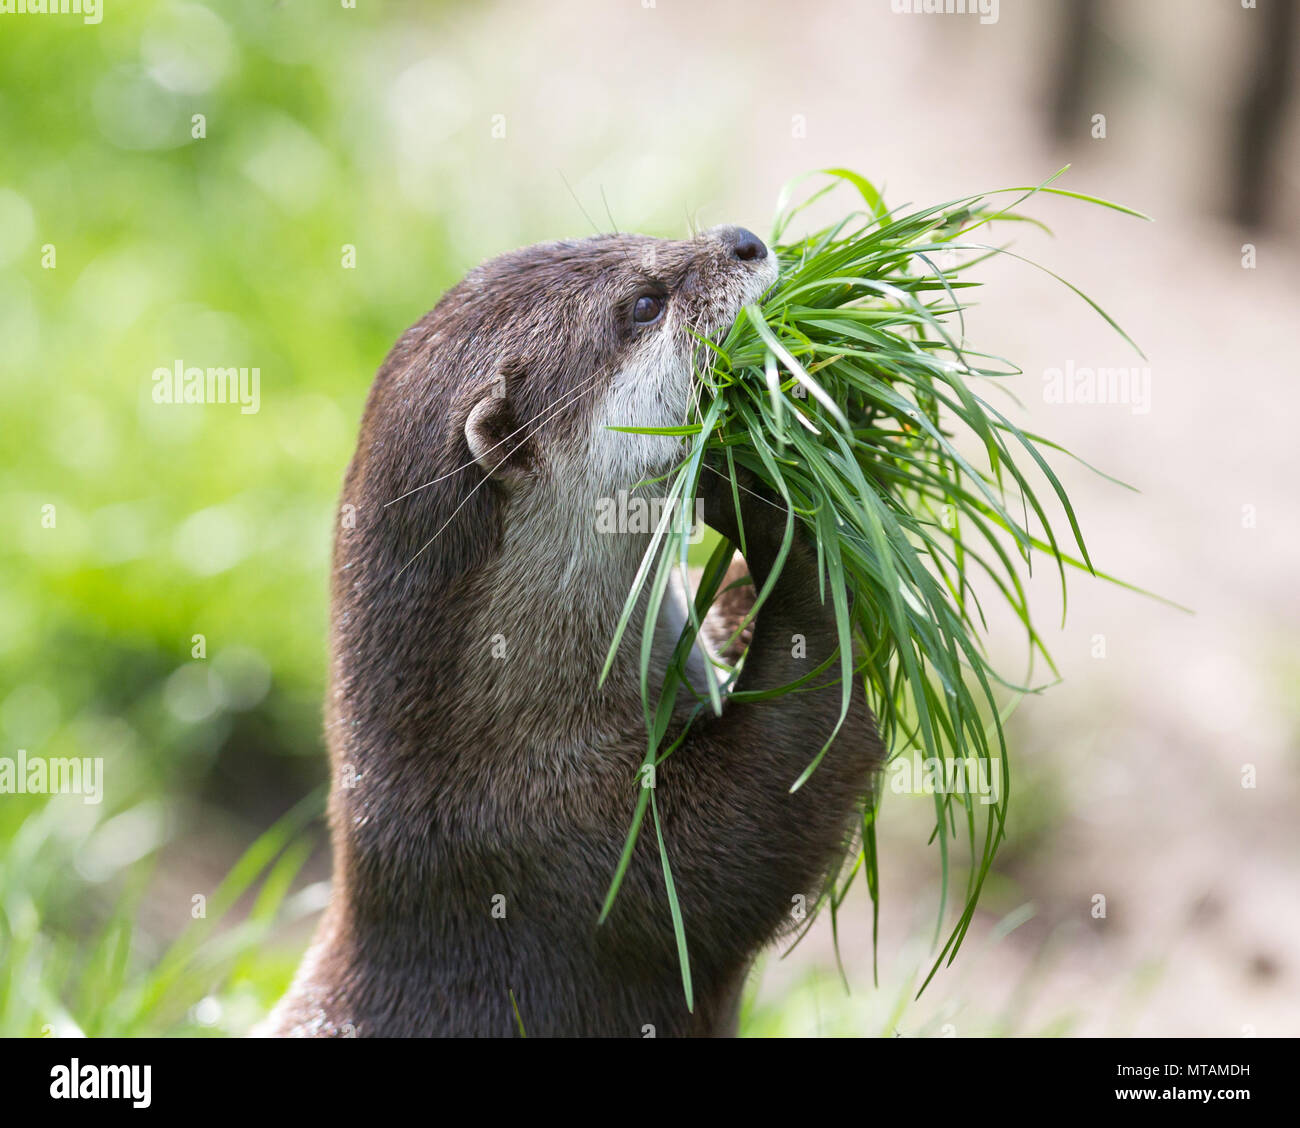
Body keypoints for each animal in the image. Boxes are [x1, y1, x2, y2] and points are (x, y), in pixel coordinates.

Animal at [264, 224, 883, 1037]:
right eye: (644, 306)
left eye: (636, 237)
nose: (744, 240)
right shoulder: (578, 857)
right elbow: (784, 786)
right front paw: (779, 503)